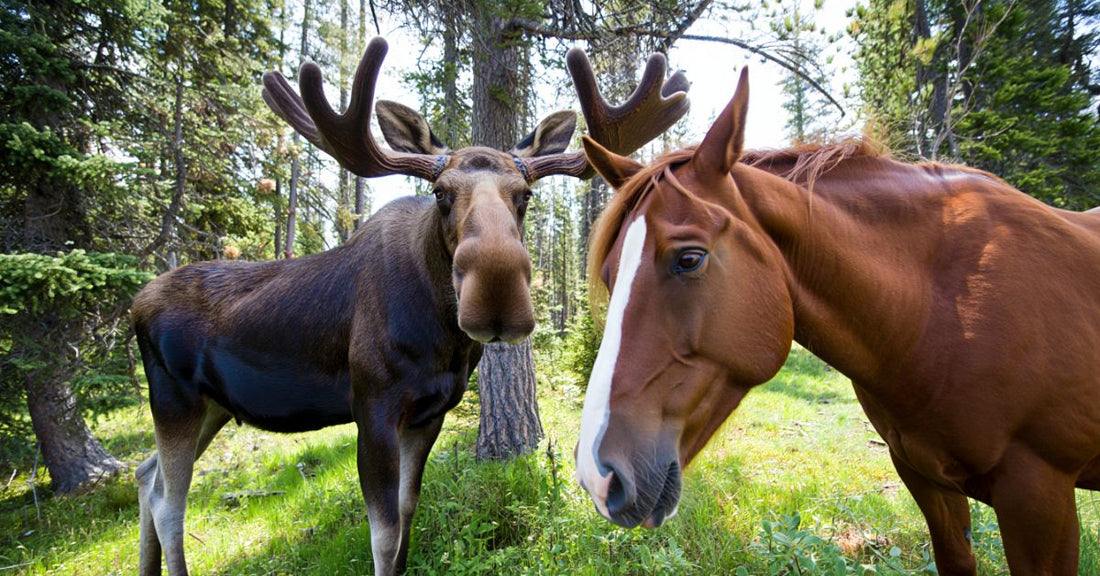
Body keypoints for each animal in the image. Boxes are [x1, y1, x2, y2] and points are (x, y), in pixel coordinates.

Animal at [131, 36, 689, 576]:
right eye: (440, 192)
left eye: (525, 195)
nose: (497, 296)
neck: (442, 337)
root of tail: (135, 303)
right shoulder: (373, 407)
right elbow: (382, 535)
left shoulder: (429, 413)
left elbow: (406, 514)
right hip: (175, 400)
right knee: (167, 502)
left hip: (211, 406)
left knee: (145, 474)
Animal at [573, 67, 1100, 574]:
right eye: (609, 274)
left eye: (689, 258)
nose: (599, 476)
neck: (943, 311)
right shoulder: (925, 478)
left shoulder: (1040, 495)